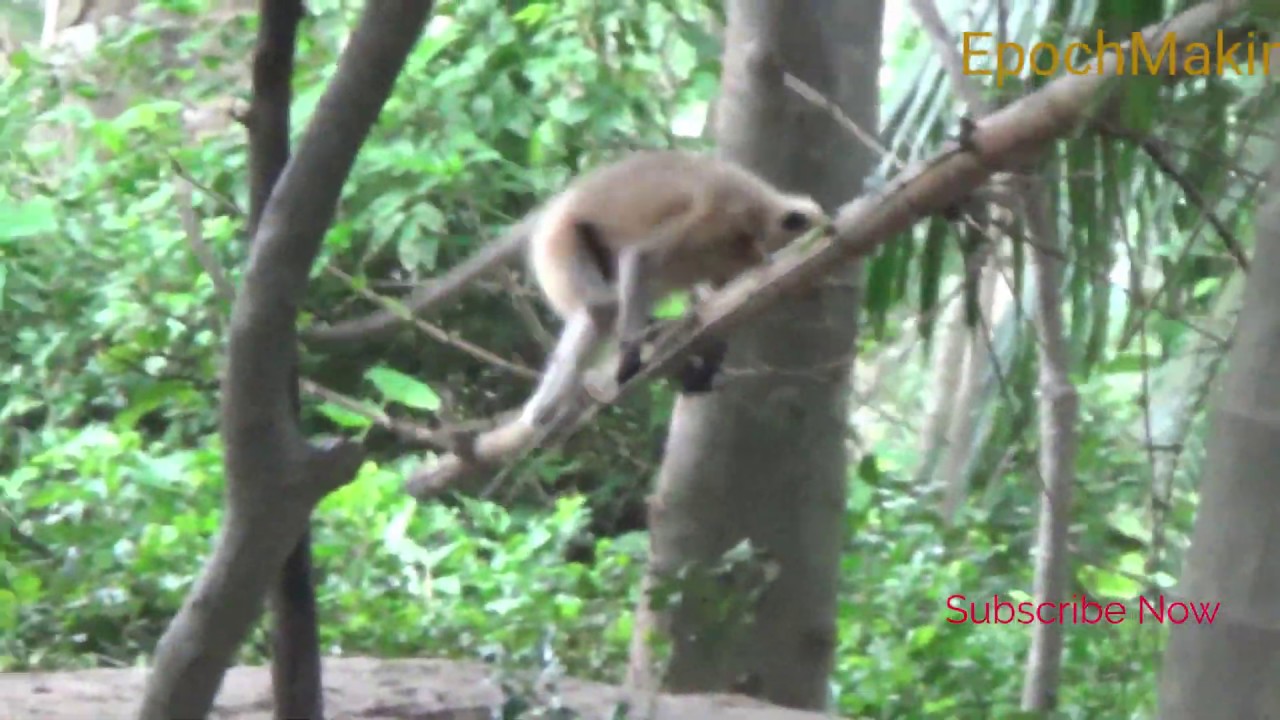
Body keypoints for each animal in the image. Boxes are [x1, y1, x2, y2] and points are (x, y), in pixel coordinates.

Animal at [509, 149, 830, 430]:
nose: (815, 290)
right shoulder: (724, 211)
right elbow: (640, 259)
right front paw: (629, 363)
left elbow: (720, 311)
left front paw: (705, 368)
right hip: (560, 239)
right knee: (606, 307)